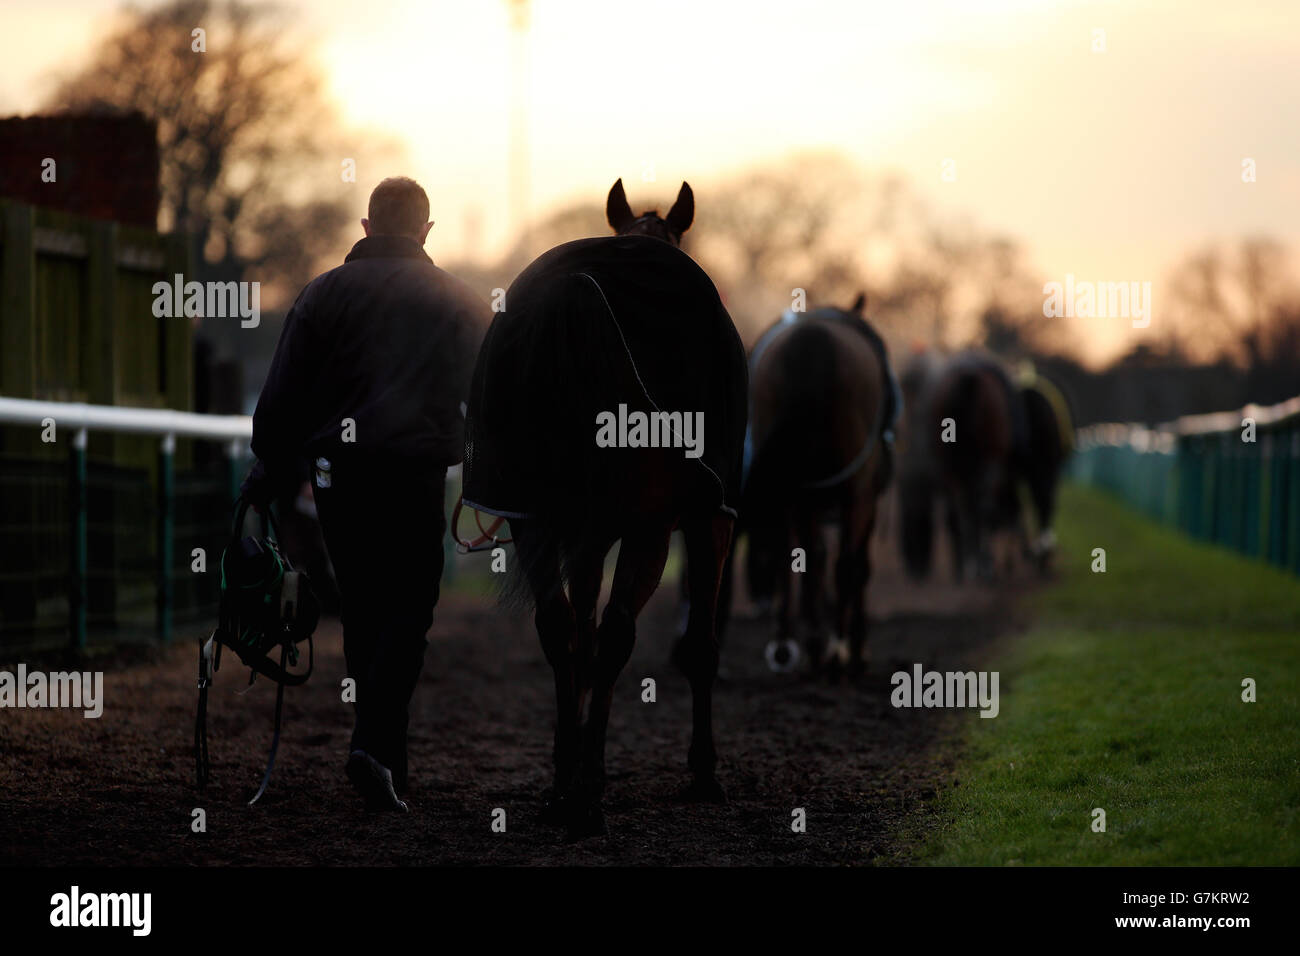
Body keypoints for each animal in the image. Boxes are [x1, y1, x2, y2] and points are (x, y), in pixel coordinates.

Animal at [462, 179, 747, 837]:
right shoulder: (707, 520)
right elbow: (698, 647)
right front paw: (704, 772)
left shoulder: (582, 533)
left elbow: (580, 637)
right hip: (650, 530)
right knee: (617, 635)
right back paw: (588, 795)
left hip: (540, 525)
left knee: (560, 628)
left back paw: (565, 786)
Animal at [741, 296, 898, 676]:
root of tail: (810, 343)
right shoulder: (864, 499)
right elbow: (857, 567)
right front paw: (857, 646)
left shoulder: (804, 500)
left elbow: (811, 559)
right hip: (853, 491)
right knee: (844, 565)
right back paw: (836, 649)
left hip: (793, 492)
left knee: (800, 559)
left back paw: (804, 644)